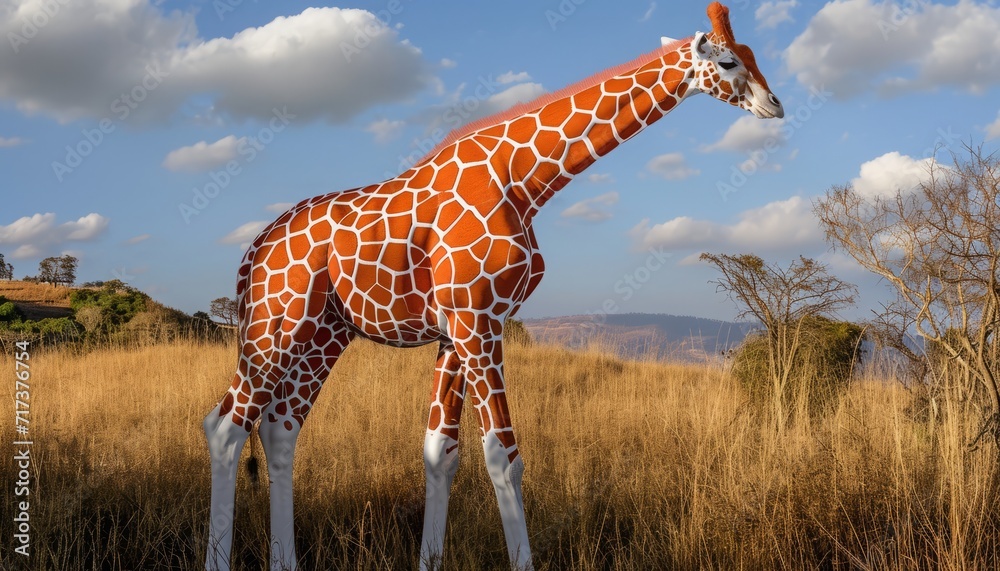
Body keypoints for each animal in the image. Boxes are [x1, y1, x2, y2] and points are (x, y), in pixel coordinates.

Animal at [203, 3, 782, 570]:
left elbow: (441, 453)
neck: (523, 182)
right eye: (728, 61)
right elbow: (504, 457)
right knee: (226, 426)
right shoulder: (478, 319)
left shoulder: (455, 330)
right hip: (276, 322)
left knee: (279, 429)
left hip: (324, 331)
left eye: (752, 54)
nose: (774, 105)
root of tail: (253, 250)